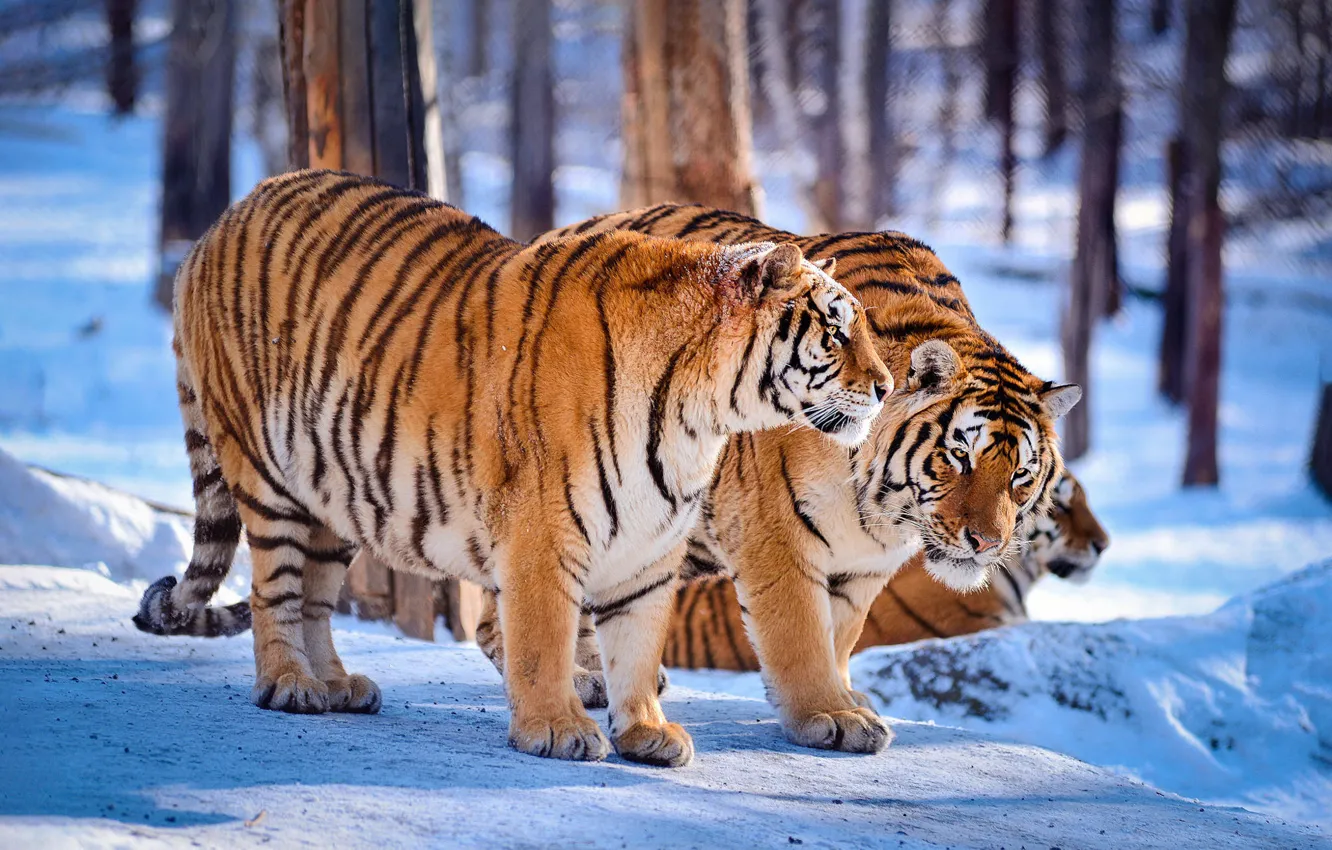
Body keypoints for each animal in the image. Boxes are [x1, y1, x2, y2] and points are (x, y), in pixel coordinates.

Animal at [130, 171, 891, 768]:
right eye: (836, 330)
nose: (886, 387)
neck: (702, 417)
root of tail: (217, 224)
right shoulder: (543, 532)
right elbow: (544, 636)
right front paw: (556, 729)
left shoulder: (651, 544)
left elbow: (637, 641)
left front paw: (646, 732)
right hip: (268, 476)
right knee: (275, 592)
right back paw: (290, 685)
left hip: (332, 490)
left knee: (316, 598)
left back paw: (338, 686)